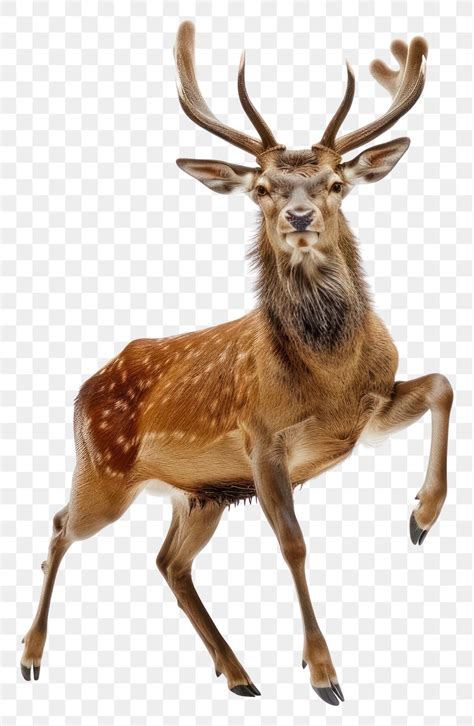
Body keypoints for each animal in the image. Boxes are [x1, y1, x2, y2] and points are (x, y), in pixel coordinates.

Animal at [20, 21, 453, 705]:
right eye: (261, 189)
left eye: (336, 184)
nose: (299, 216)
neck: (328, 378)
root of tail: (83, 390)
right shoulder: (260, 438)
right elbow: (294, 543)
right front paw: (324, 673)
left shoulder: (367, 412)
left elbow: (442, 383)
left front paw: (421, 516)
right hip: (103, 474)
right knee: (62, 525)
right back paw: (32, 657)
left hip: (203, 496)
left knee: (168, 561)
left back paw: (239, 673)